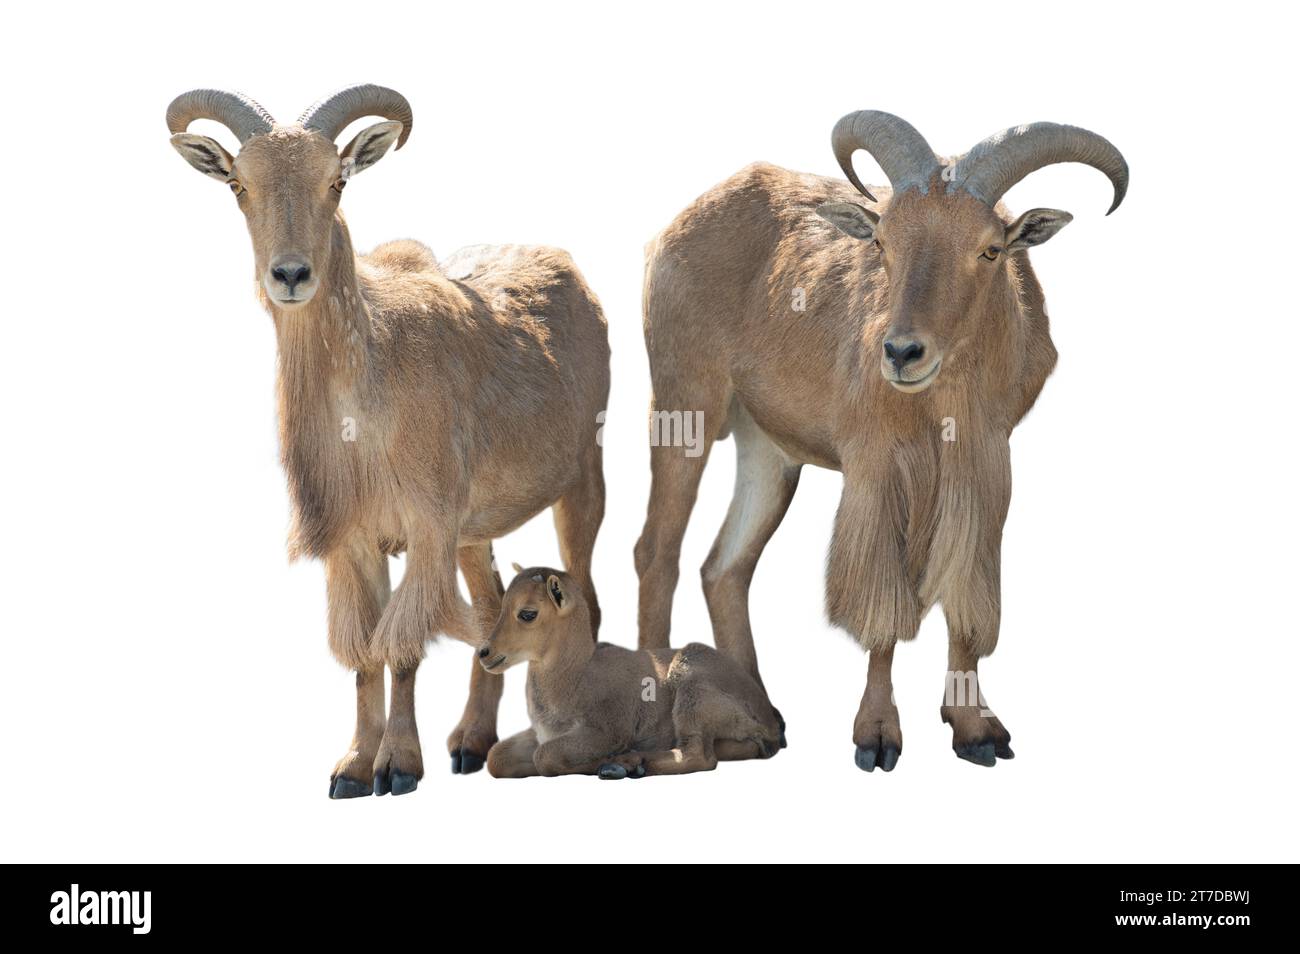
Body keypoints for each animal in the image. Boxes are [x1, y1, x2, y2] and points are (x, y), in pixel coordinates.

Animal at [166, 86, 610, 796]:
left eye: (337, 181)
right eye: (239, 185)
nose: (290, 275)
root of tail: (568, 270)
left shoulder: (426, 527)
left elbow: (400, 644)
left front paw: (398, 764)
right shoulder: (354, 540)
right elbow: (360, 650)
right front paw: (352, 765)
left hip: (581, 479)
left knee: (585, 589)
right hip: (473, 529)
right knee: (490, 606)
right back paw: (471, 741)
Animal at [480, 566, 782, 778]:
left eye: (527, 613)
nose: (485, 652)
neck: (577, 677)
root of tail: (769, 719)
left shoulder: (607, 730)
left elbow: (544, 756)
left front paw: (616, 761)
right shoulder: (540, 733)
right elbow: (496, 756)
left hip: (692, 691)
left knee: (699, 756)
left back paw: (632, 763)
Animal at [633, 111, 1127, 771]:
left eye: (990, 249)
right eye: (882, 243)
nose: (900, 352)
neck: (943, 404)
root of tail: (670, 232)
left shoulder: (985, 467)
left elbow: (968, 599)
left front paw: (976, 730)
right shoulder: (875, 470)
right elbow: (881, 607)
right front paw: (876, 735)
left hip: (766, 448)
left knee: (724, 567)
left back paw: (760, 720)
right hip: (686, 403)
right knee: (657, 553)